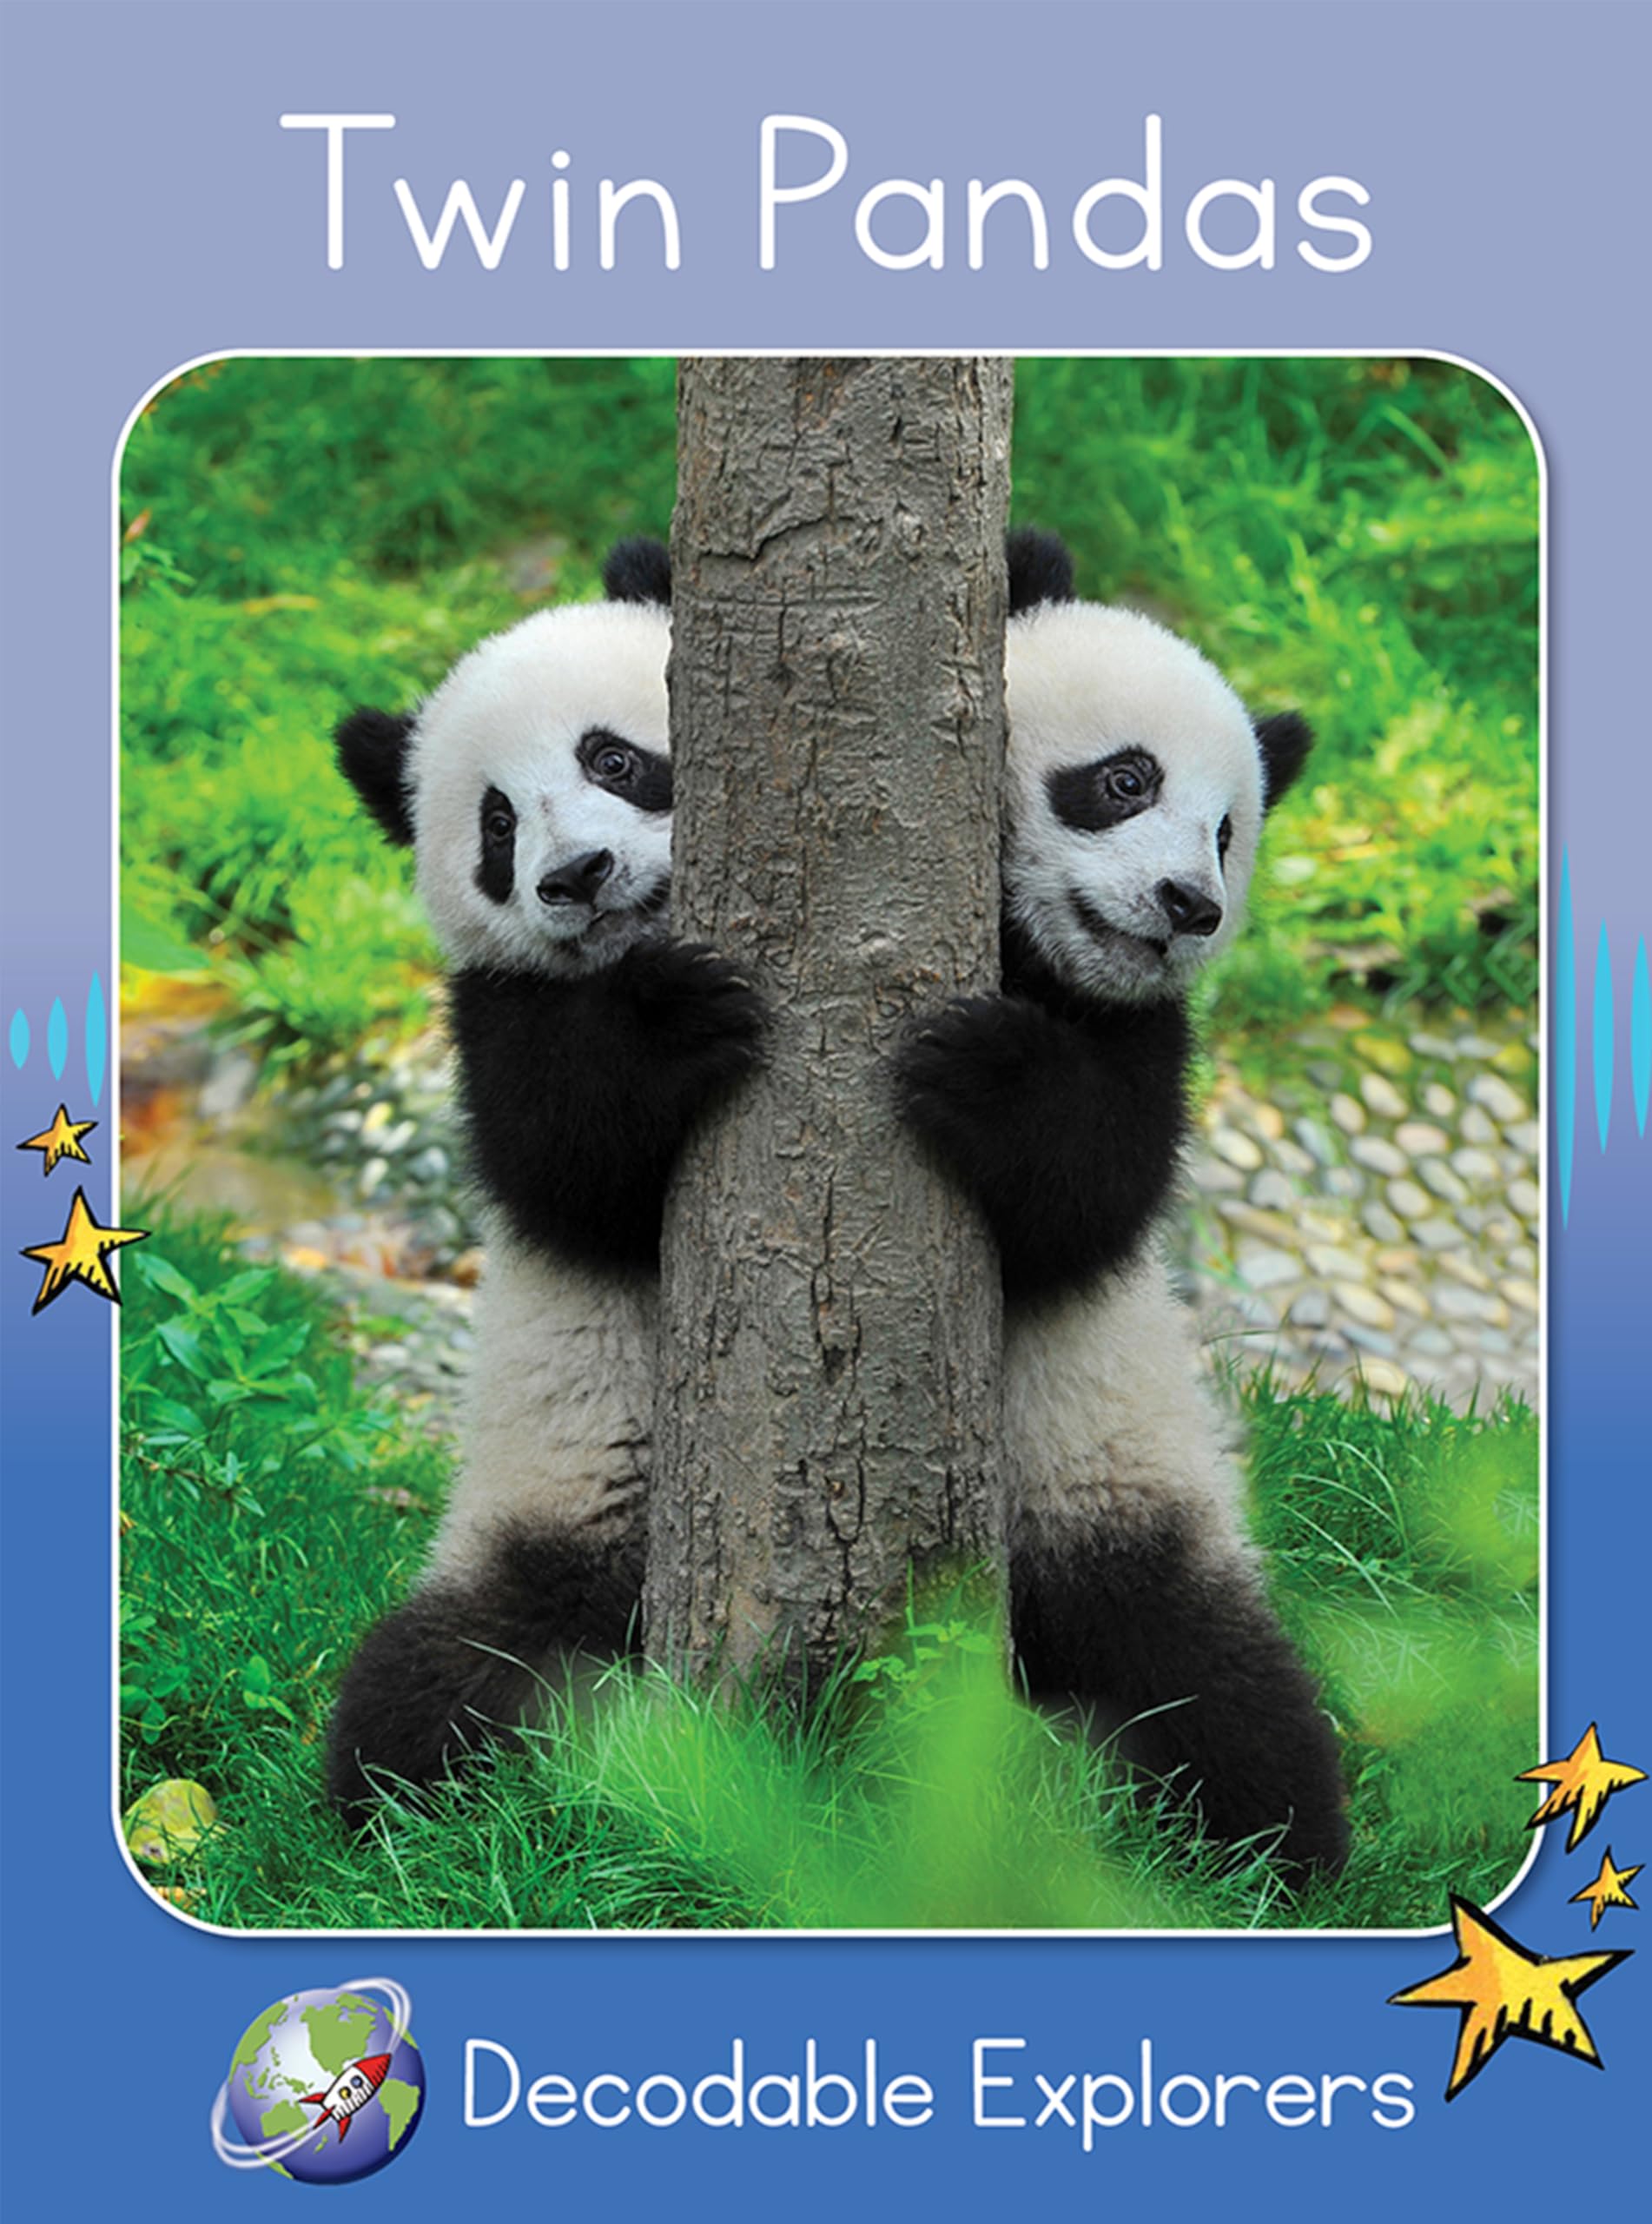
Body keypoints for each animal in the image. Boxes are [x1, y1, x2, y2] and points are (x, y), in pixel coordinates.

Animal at [325, 537, 764, 1820]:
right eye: (497, 827)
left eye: (611, 757)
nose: (578, 874)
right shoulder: (492, 1013)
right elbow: (569, 1171)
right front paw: (672, 1026)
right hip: (531, 1536)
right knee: (429, 1679)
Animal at [896, 528, 1350, 1877]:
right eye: (1124, 780)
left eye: (1227, 832)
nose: (1188, 908)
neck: (1042, 959)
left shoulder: (1153, 1037)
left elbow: (1094, 1197)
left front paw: (987, 1073)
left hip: (1127, 1502)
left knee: (1217, 1684)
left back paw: (1278, 1844)